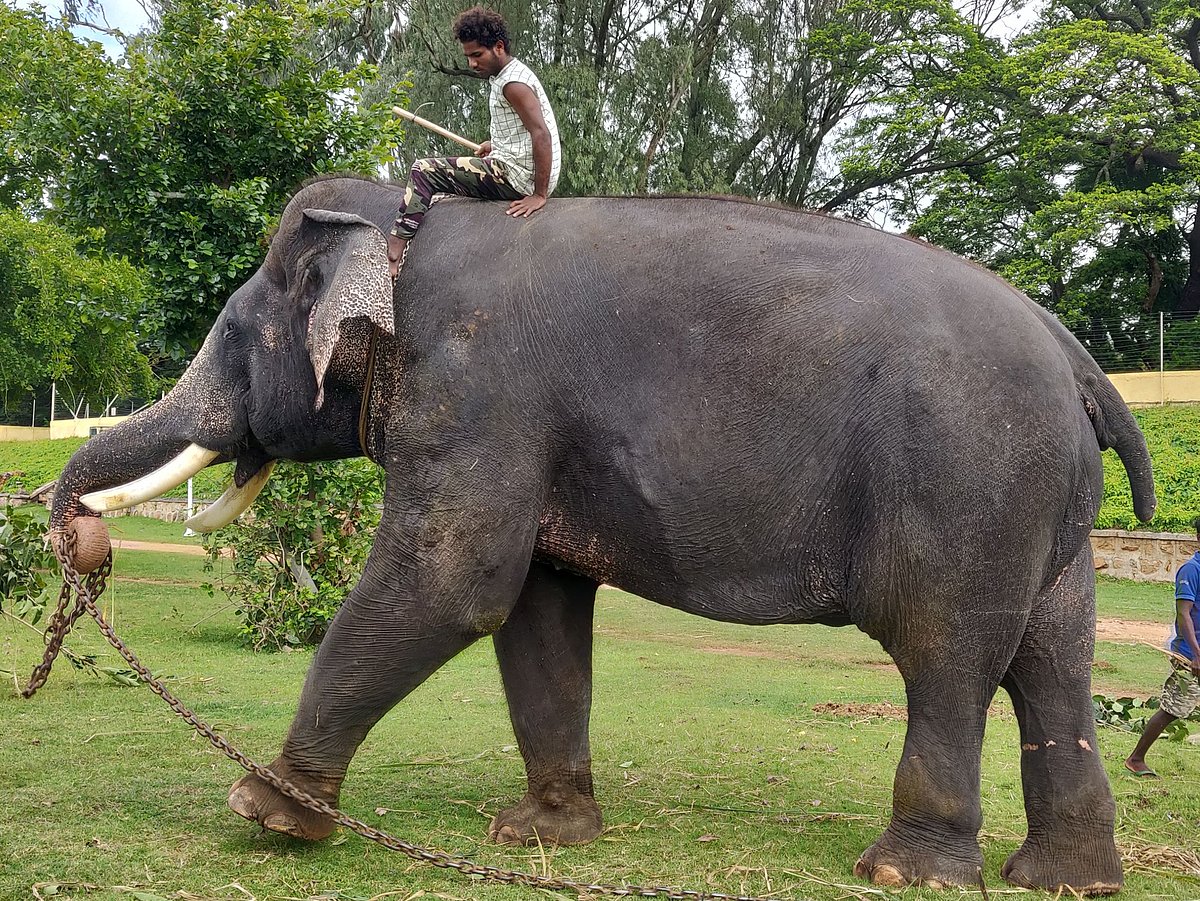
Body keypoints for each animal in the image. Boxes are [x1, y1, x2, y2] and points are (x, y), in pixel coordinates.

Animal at [49, 175, 1156, 895]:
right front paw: (540, 835)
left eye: (238, 336)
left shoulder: (481, 387)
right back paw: (1068, 879)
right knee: (1053, 659)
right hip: (1044, 507)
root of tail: (1077, 358)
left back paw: (903, 871)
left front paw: (268, 811)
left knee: (948, 657)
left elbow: (455, 581)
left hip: (967, 481)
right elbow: (535, 606)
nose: (74, 534)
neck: (412, 222)